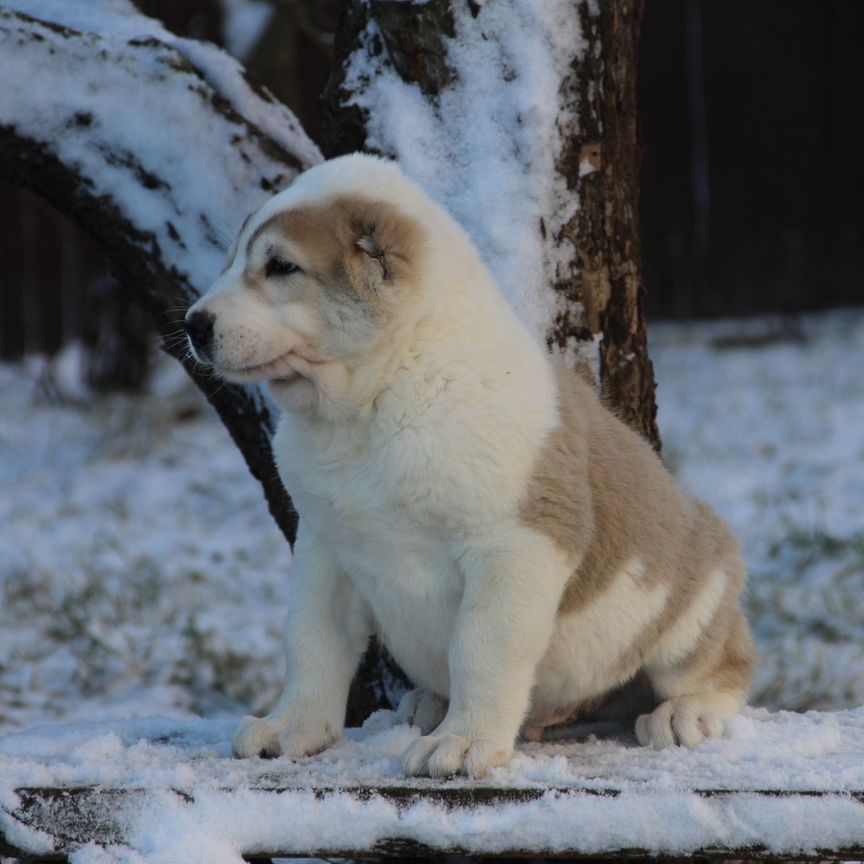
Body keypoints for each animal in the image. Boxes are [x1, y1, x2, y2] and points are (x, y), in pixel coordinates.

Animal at [186, 154, 752, 776]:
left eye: (282, 266)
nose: (193, 325)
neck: (375, 401)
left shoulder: (515, 546)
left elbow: (482, 647)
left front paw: (464, 742)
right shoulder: (324, 547)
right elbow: (312, 640)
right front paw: (293, 727)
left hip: (694, 600)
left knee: (725, 666)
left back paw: (686, 711)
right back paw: (428, 704)